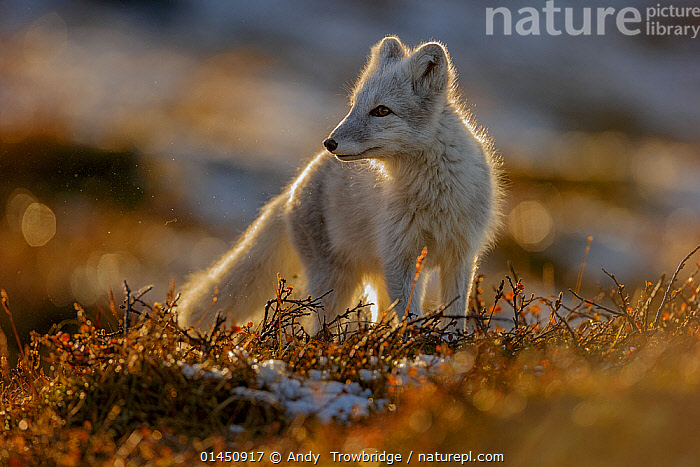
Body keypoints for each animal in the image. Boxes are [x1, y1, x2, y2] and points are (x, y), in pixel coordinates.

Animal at [178, 36, 503, 332]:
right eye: (354, 105)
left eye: (382, 110)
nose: (329, 143)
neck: (435, 193)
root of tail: (295, 186)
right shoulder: (400, 257)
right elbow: (409, 314)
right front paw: (417, 344)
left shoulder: (460, 255)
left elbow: (455, 315)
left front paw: (448, 346)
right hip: (336, 283)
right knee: (318, 330)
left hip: (372, 276)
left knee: (377, 315)